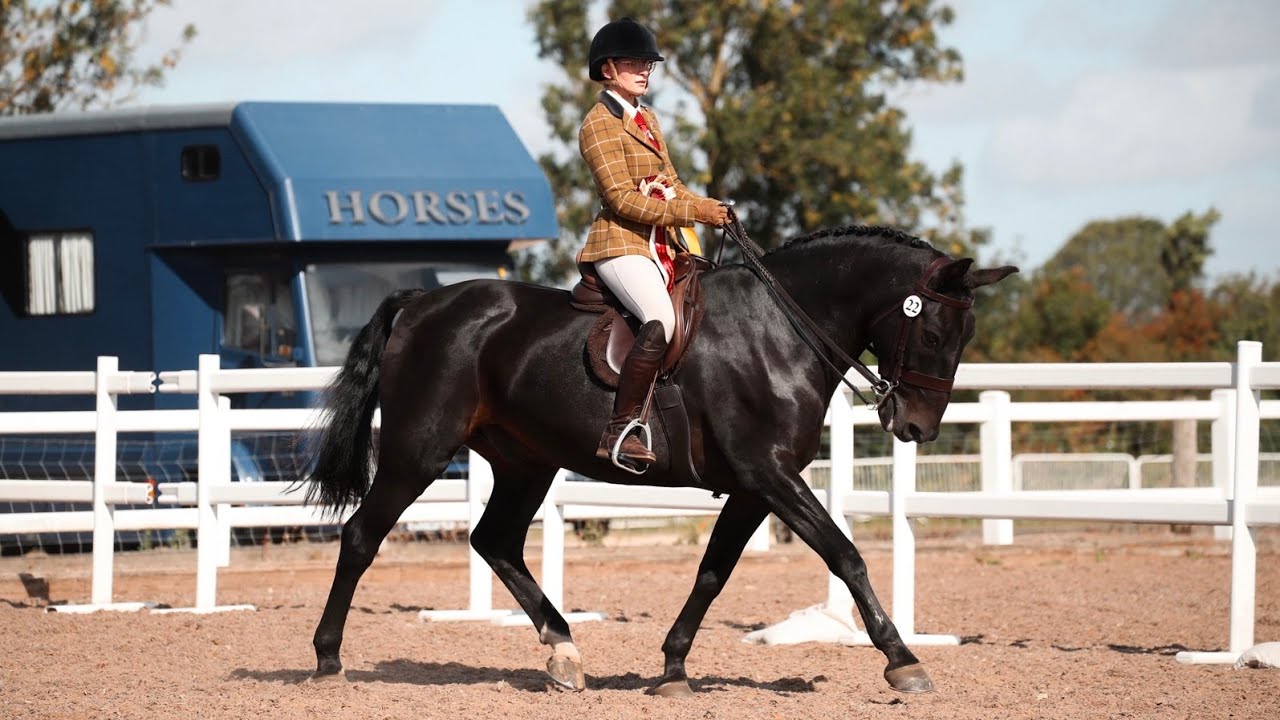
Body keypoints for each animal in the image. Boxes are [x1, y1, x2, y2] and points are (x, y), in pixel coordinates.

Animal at [300, 225, 1017, 697]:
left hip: (526, 462)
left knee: (495, 541)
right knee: (361, 537)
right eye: (932, 332)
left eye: (967, 336)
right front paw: (902, 660)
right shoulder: (771, 475)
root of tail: (420, 304)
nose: (916, 426)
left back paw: (565, 653)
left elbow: (713, 573)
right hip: (418, 450)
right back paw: (328, 660)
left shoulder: (754, 488)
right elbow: (847, 555)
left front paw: (673, 668)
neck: (781, 331)